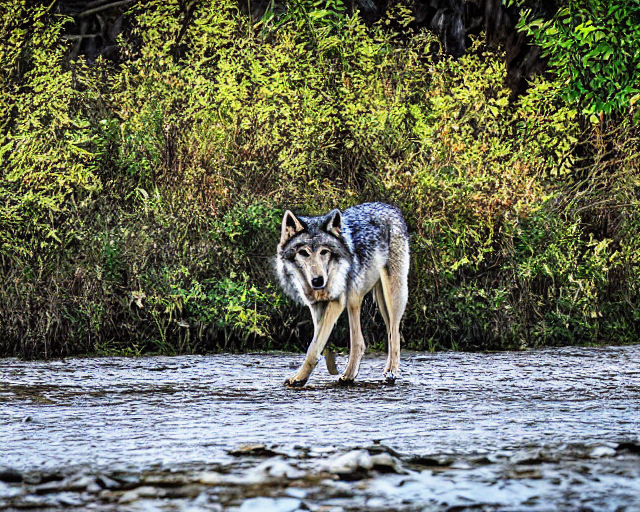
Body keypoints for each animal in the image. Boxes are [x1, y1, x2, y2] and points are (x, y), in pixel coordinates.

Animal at [276, 202, 410, 387]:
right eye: (303, 253)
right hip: (370, 299)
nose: (318, 280)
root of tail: (390, 207)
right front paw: (301, 376)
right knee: (380, 334)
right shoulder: (316, 306)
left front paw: (299, 378)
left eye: (324, 252)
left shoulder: (337, 301)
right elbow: (316, 344)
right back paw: (357, 373)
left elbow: (313, 348)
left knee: (390, 333)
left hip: (384, 296)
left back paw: (387, 372)